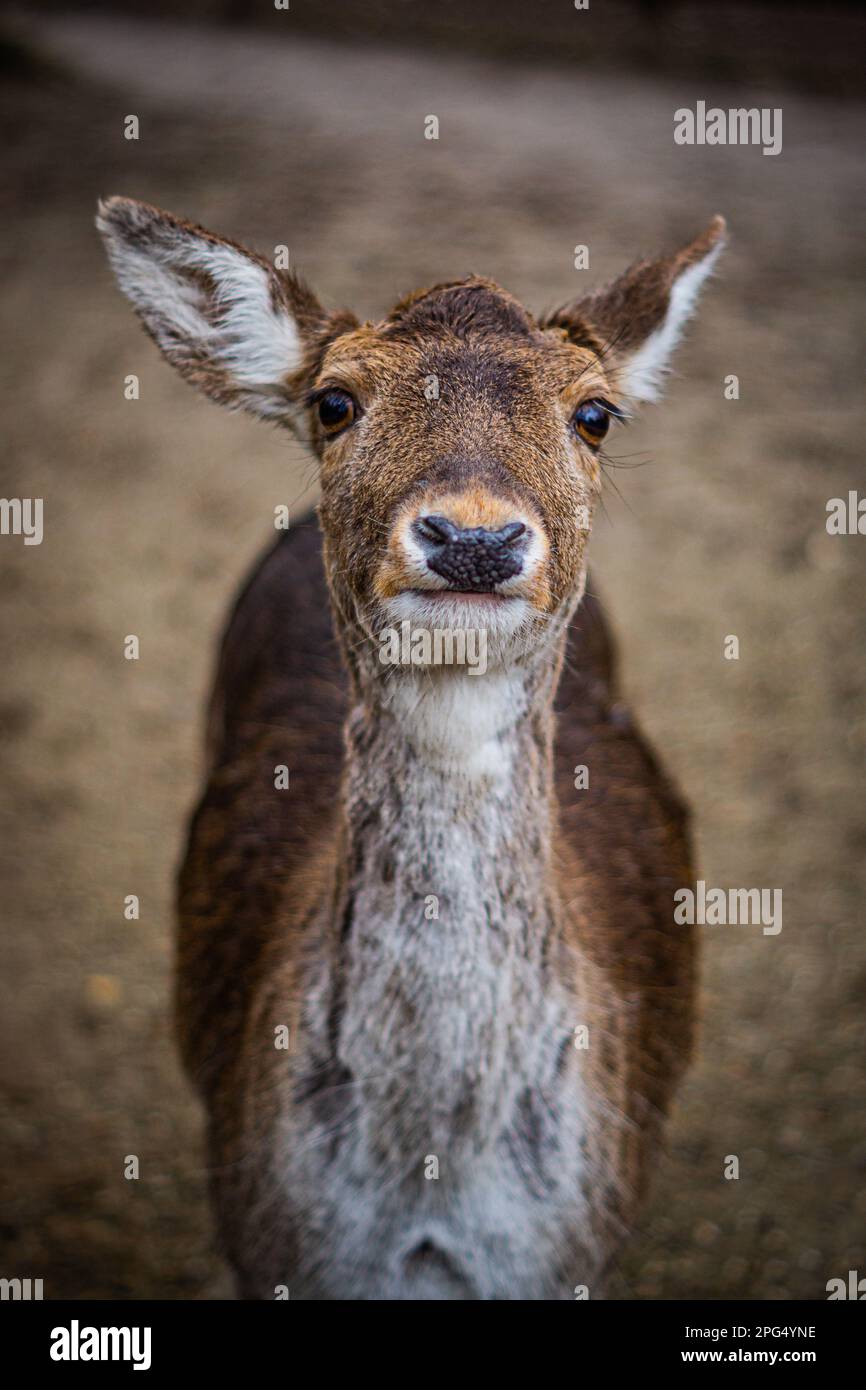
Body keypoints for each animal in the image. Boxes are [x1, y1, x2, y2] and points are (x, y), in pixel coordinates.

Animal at [97, 196, 724, 1300]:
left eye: (594, 414)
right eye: (334, 401)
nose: (472, 540)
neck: (429, 1206)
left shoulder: (572, 1252)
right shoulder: (270, 1242)